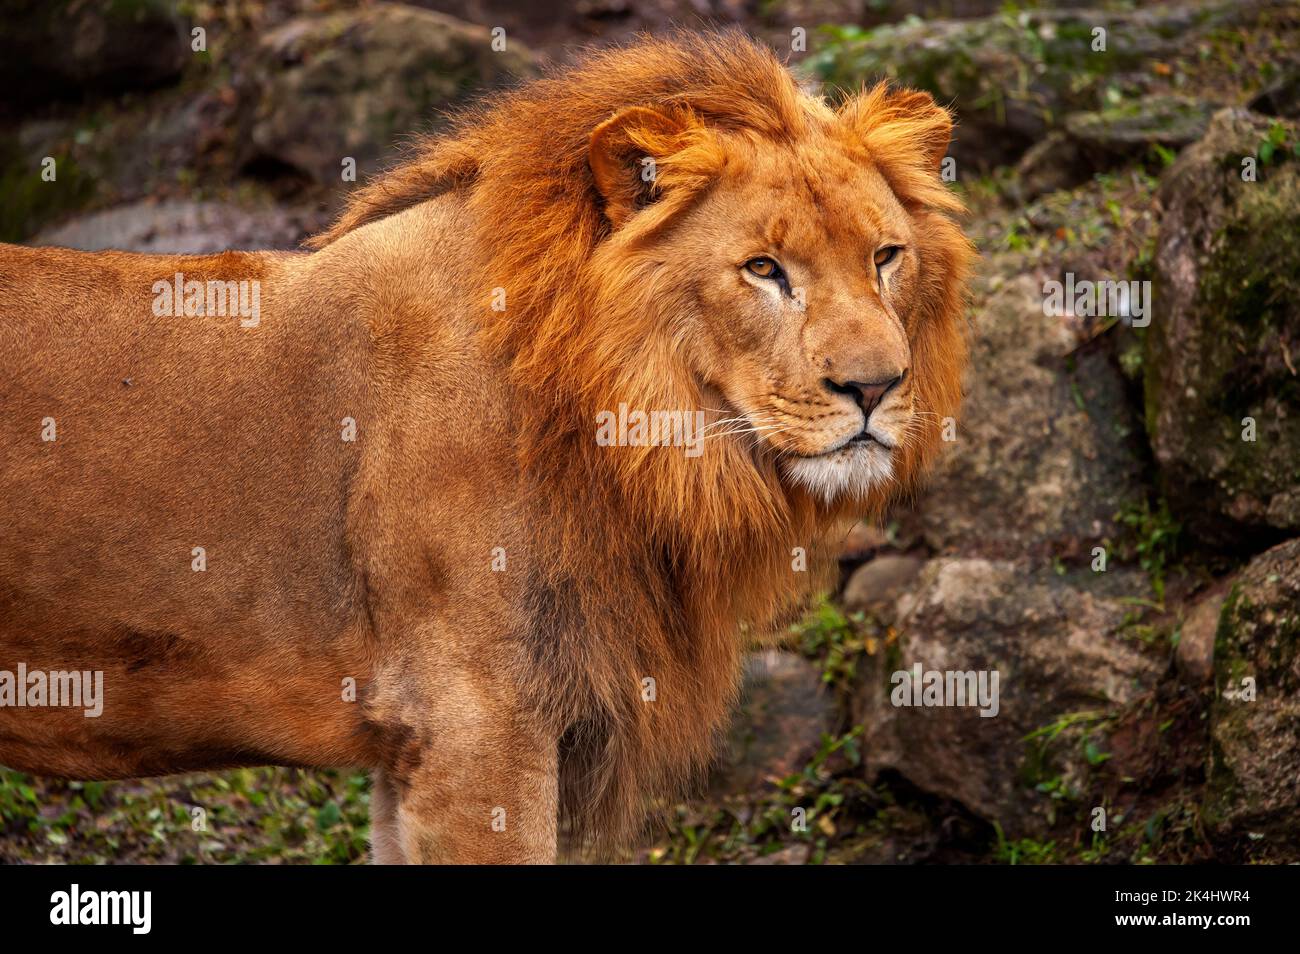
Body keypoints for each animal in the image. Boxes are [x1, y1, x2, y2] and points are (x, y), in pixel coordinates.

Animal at [0, 31, 972, 863]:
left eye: (885, 257)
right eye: (764, 270)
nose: (877, 387)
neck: (634, 438)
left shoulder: (416, 752)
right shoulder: (477, 728)